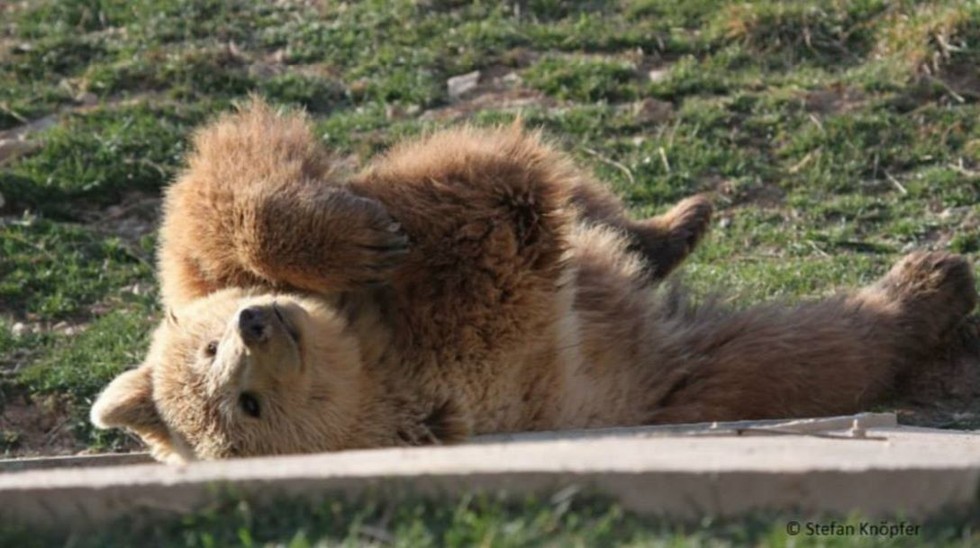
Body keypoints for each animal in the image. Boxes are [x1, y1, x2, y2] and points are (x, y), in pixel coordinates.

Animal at [91, 100, 978, 462]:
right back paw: (927, 285)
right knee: (791, 350)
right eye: (246, 404)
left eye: (210, 348)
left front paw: (358, 231)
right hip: (656, 381)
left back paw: (671, 224)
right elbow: (495, 201)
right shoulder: (470, 348)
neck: (367, 345)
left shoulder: (197, 273)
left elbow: (214, 193)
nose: (256, 327)